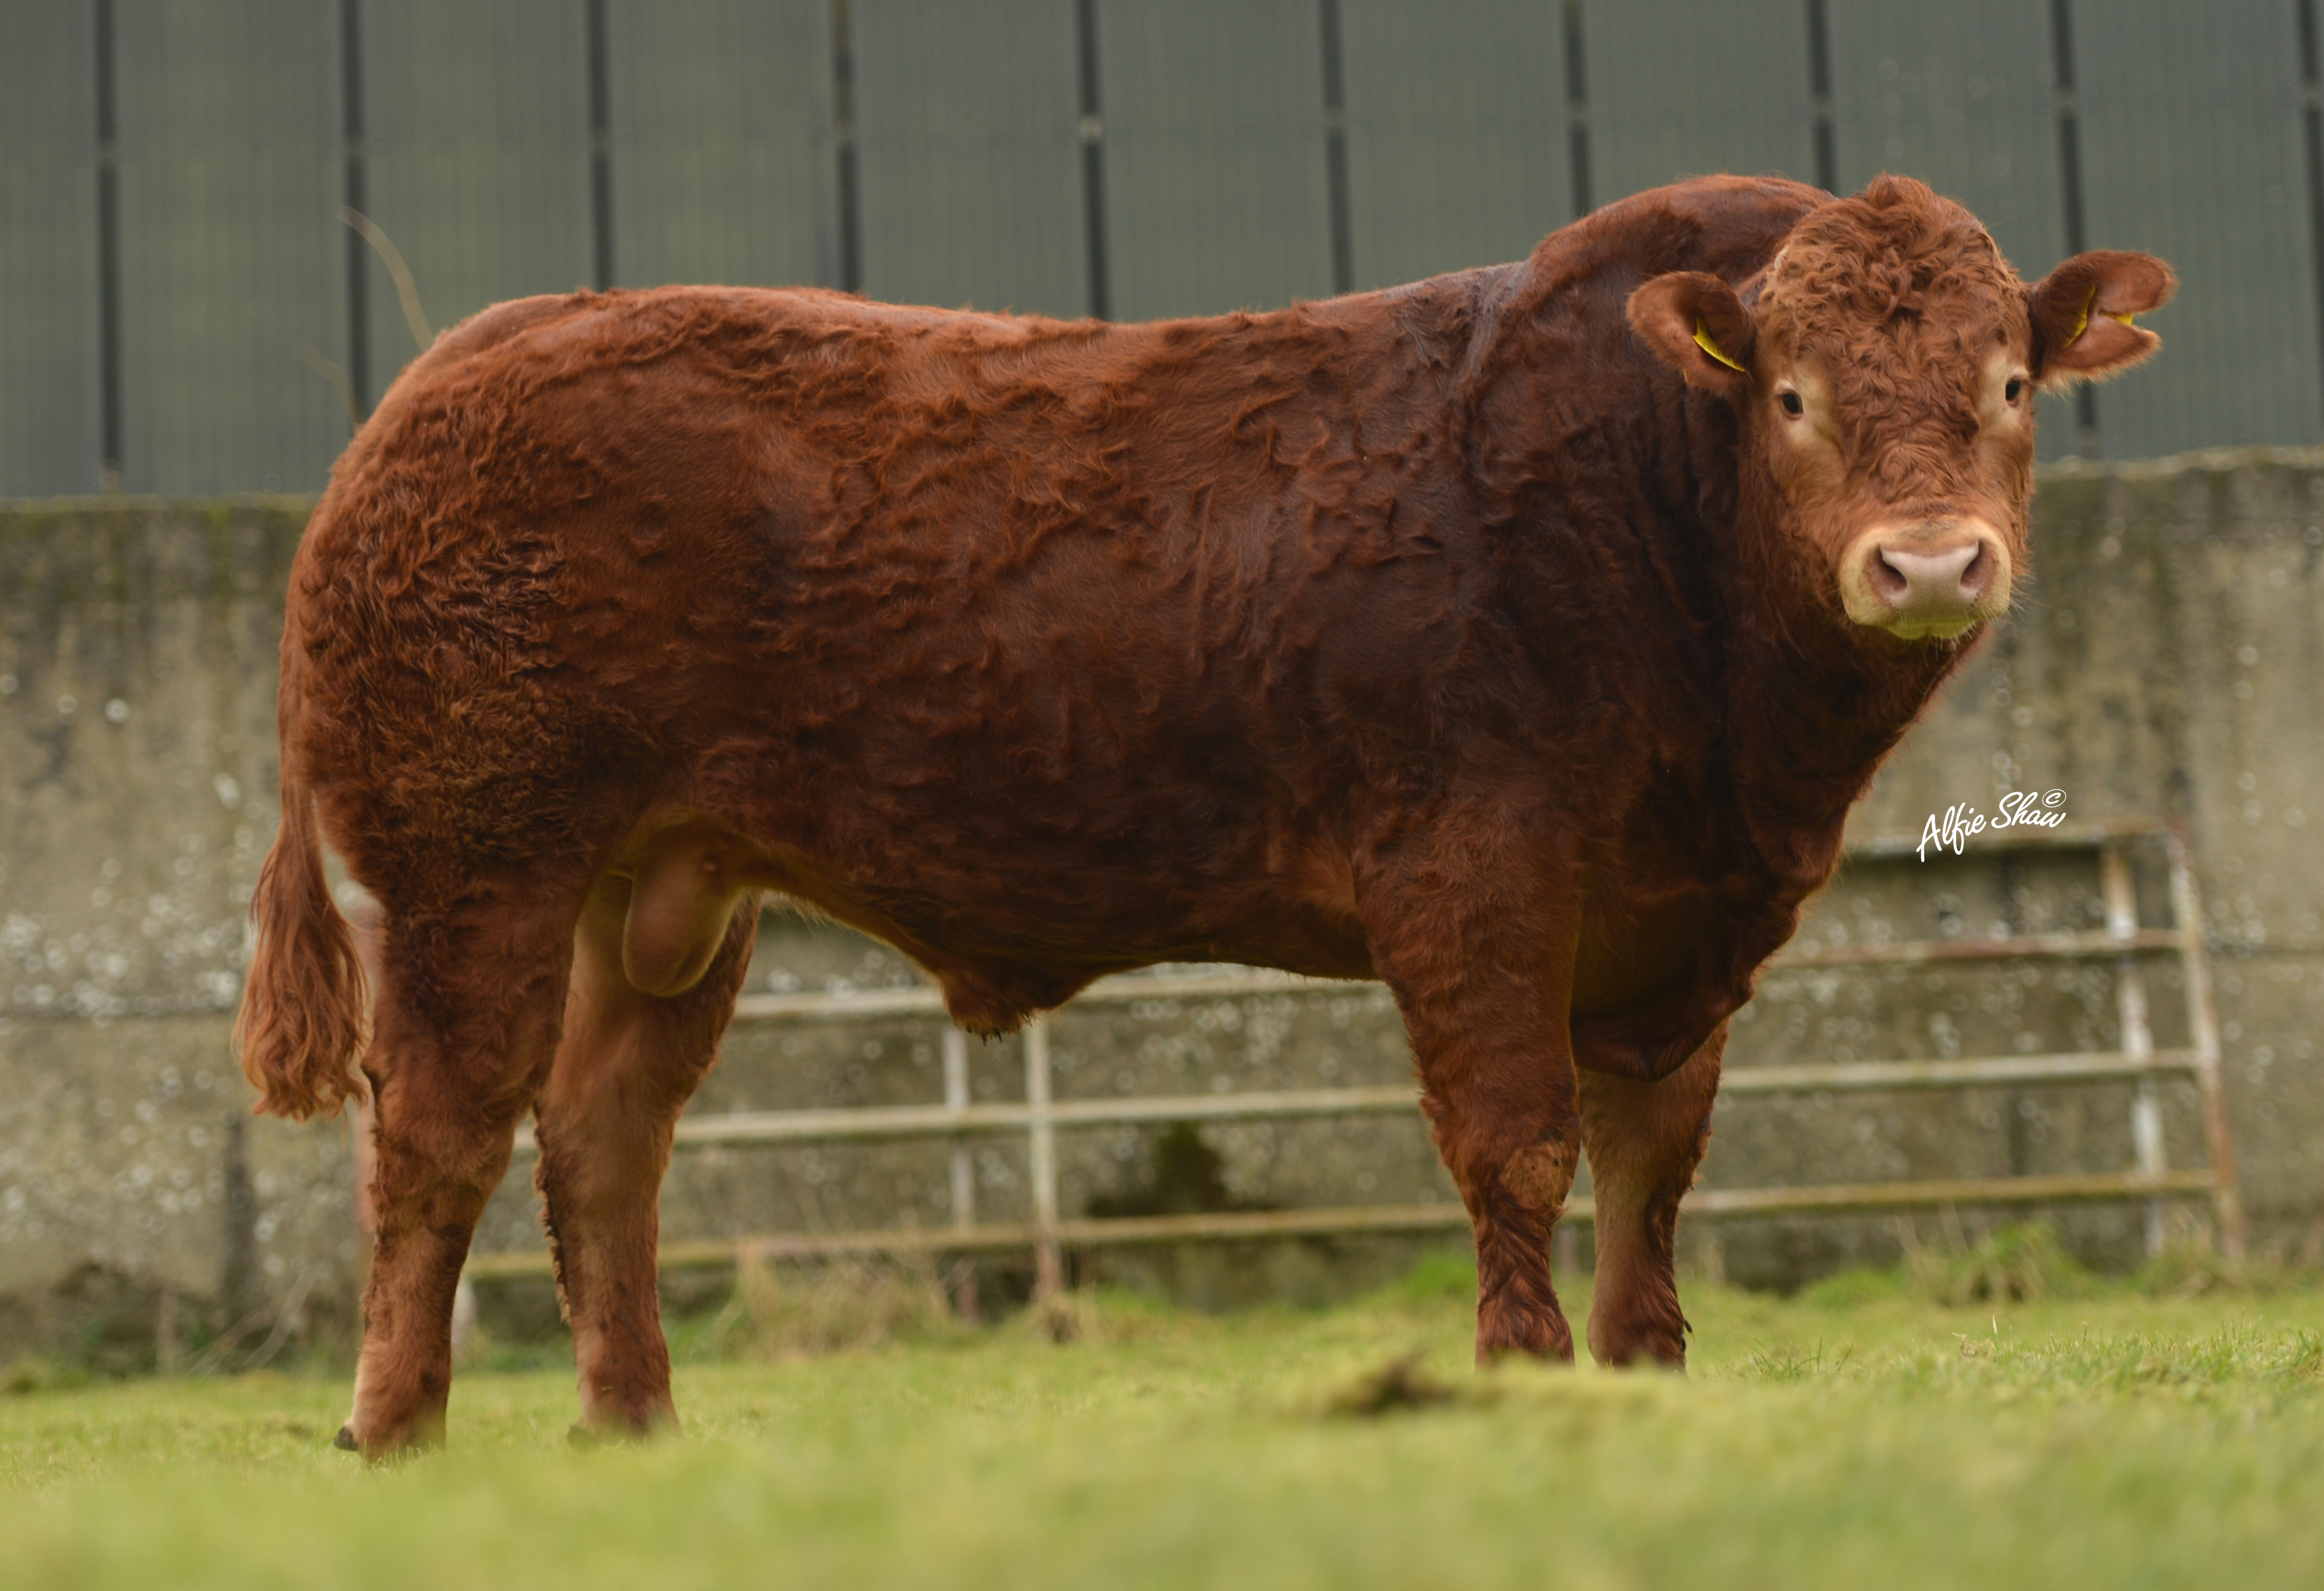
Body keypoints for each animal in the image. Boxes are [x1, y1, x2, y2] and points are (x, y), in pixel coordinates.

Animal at [236, 174, 2171, 1456]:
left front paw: (1642, 1370)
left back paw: (630, 1427)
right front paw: (1520, 1372)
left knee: (599, 1138)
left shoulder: (1682, 919)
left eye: (2008, 384)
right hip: (475, 860)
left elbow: (1654, 1158)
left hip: (668, 885)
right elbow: (1516, 1139)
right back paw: (395, 1432)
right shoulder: (1471, 866)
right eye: (1791, 394)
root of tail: (465, 361)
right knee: (439, 1130)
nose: (1930, 562)